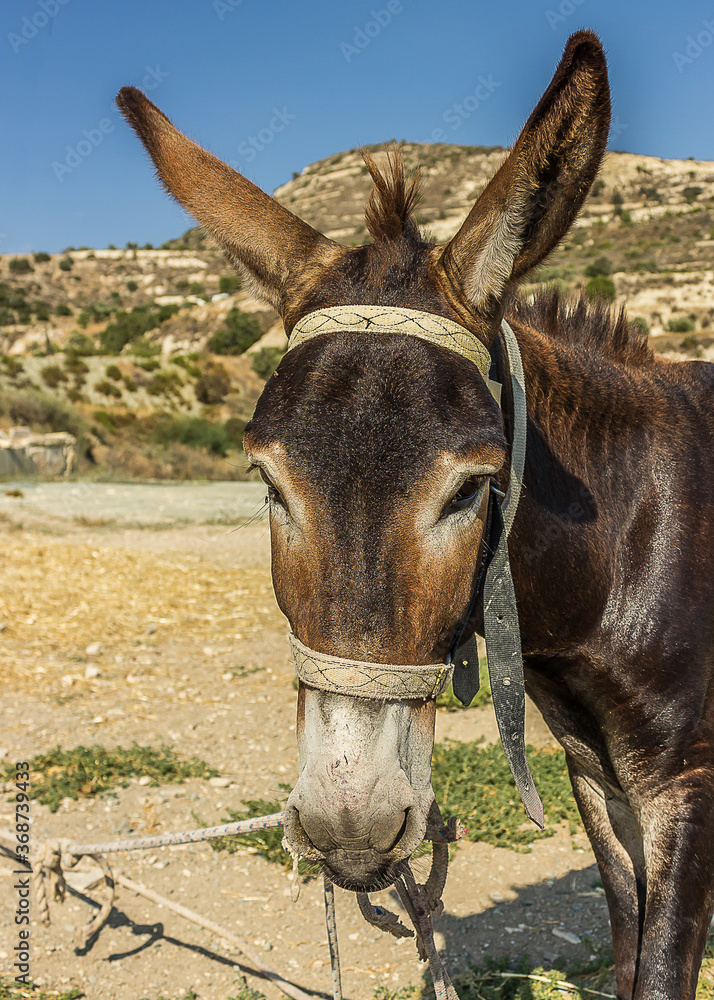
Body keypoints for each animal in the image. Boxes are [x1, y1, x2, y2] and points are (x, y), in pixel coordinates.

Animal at [117, 30, 714, 999]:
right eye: (267, 481)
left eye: (470, 488)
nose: (350, 824)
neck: (633, 543)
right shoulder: (602, 787)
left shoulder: (688, 785)